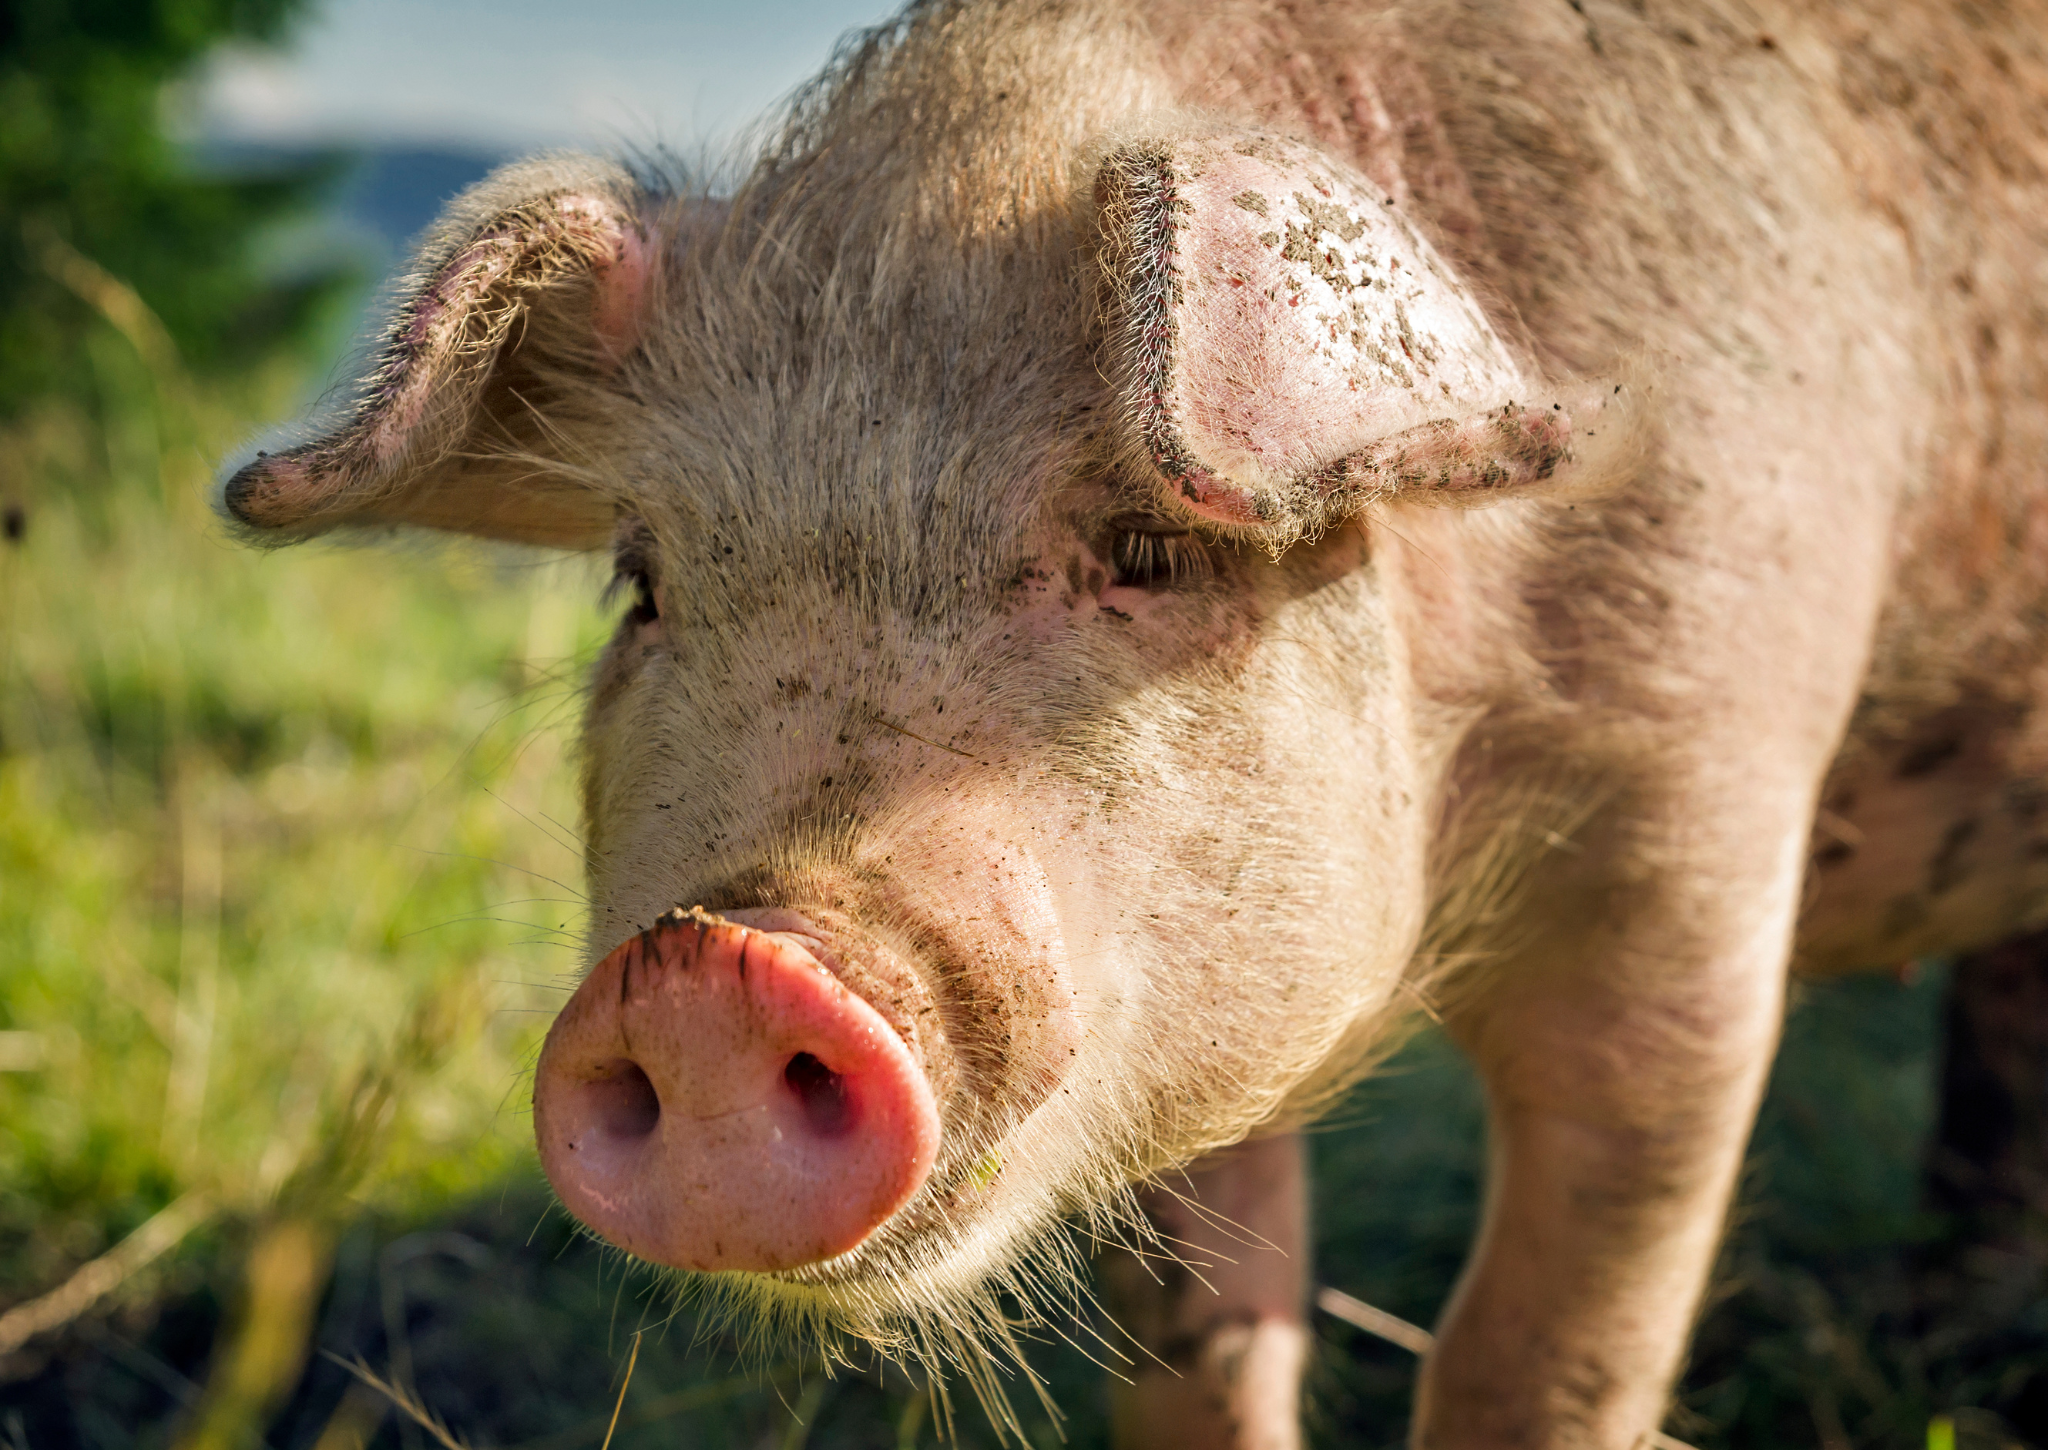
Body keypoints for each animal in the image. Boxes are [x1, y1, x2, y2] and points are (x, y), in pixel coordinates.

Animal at [220, 1, 2048, 1445]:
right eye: (645, 583)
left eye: (1150, 555)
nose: (712, 968)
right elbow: (1200, 1338)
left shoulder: (1700, 842)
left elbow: (1543, 1341)